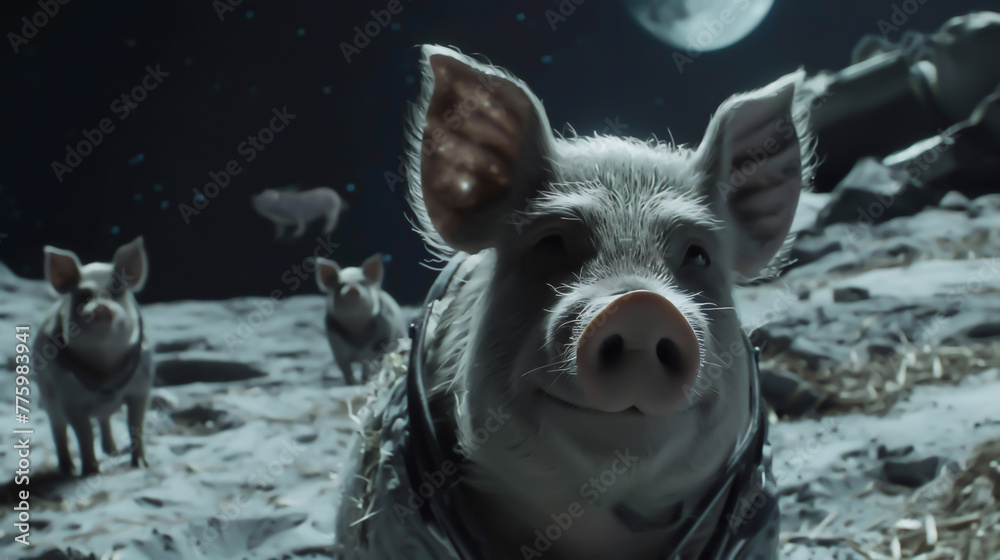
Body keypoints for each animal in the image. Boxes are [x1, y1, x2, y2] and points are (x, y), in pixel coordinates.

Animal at [34, 237, 154, 477]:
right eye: (84, 296)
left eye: (117, 291)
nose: (100, 307)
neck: (104, 365)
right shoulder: (70, 400)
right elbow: (84, 435)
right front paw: (90, 472)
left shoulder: (141, 389)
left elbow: (135, 425)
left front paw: (141, 465)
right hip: (46, 393)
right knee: (58, 429)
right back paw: (67, 469)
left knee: (104, 420)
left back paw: (113, 452)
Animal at [315, 253, 406, 385]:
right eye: (340, 285)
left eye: (362, 283)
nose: (352, 289)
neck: (356, 326)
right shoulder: (337, 349)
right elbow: (345, 369)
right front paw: (350, 384)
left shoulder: (379, 343)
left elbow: (370, 364)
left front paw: (365, 381)